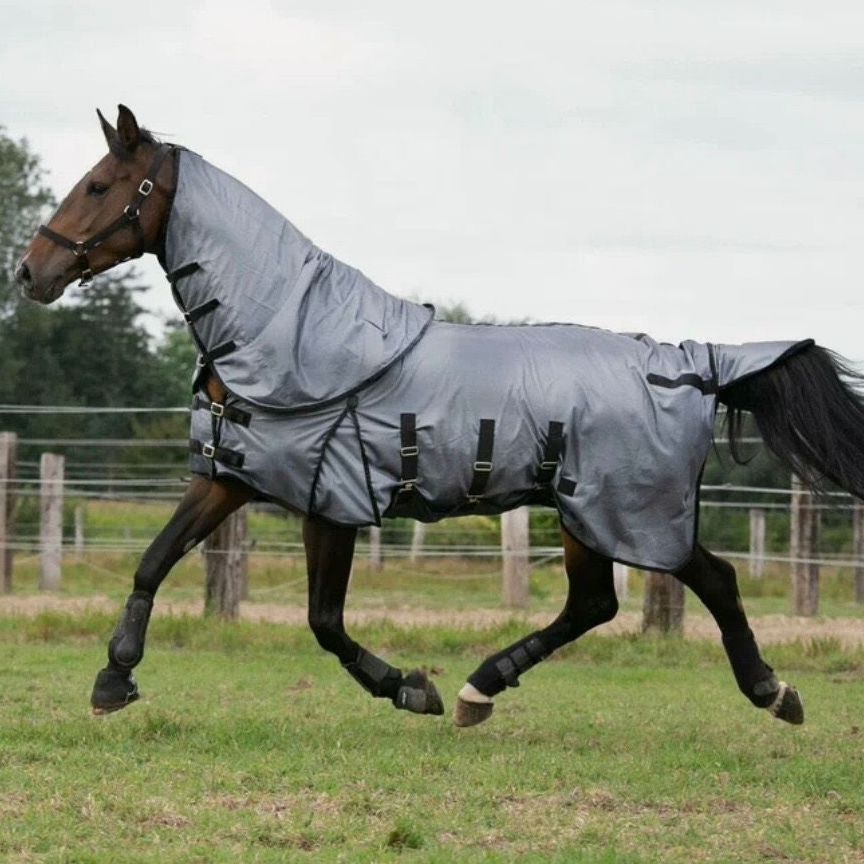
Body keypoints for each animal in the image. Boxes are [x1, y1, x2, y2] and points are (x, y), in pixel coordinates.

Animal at [15, 105, 864, 728]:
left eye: (101, 185)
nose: (32, 272)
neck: (289, 333)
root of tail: (691, 361)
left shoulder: (332, 499)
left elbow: (324, 620)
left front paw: (408, 687)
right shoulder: (238, 477)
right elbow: (155, 560)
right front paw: (114, 678)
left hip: (625, 511)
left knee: (709, 579)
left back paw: (773, 693)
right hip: (582, 514)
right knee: (594, 603)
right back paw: (481, 689)